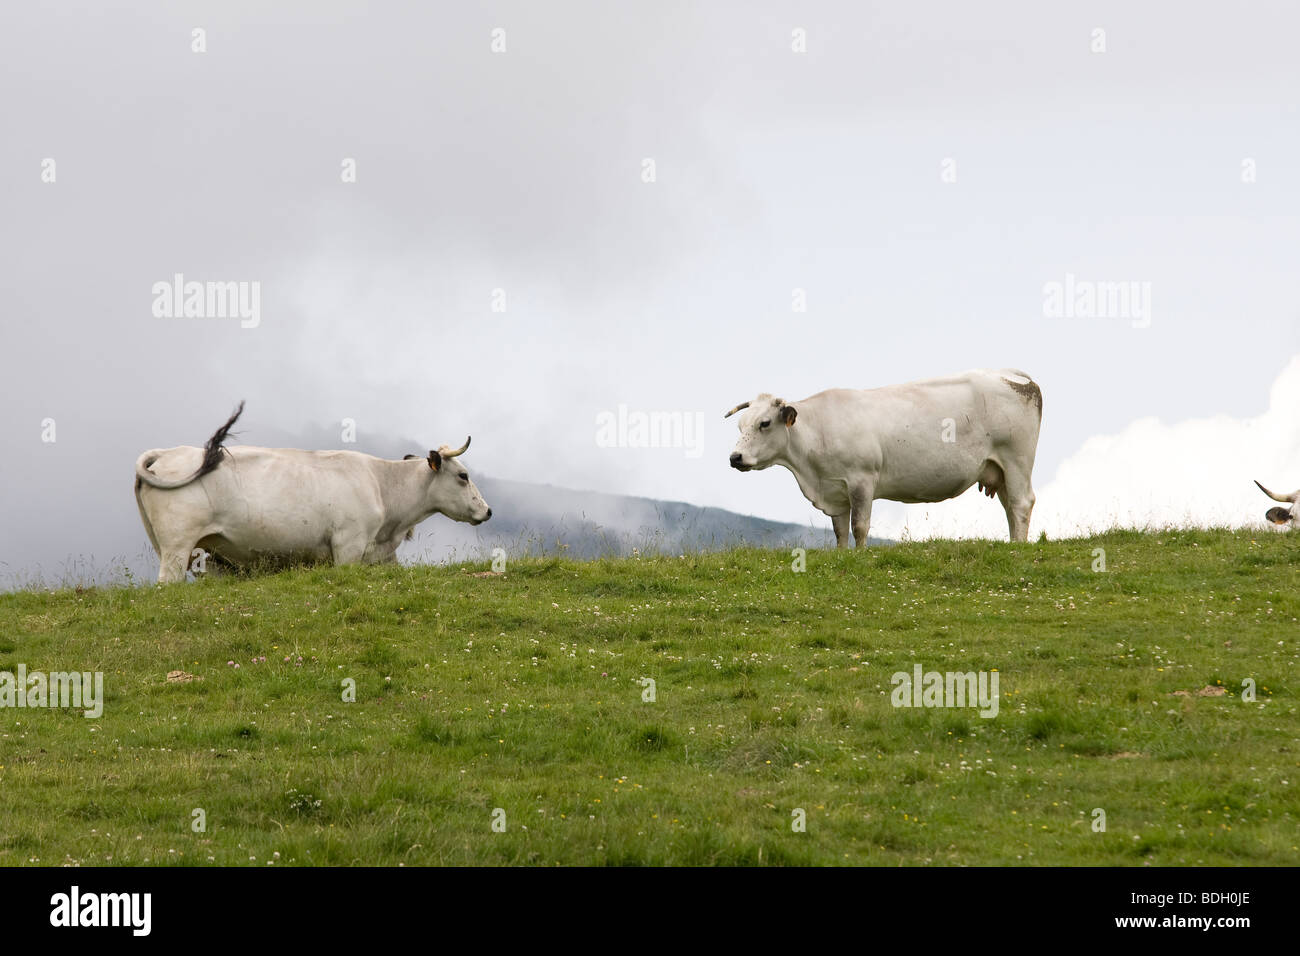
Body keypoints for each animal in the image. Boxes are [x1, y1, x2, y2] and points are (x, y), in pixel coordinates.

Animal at [134, 402, 492, 583]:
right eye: (463, 475)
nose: (487, 510)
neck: (381, 484)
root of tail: (166, 453)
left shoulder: (383, 556)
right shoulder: (348, 547)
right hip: (177, 547)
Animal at [726, 369, 1042, 547]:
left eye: (764, 423)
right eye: (740, 426)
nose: (735, 457)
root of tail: (1014, 376)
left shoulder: (862, 480)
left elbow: (859, 526)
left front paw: (860, 556)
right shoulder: (835, 491)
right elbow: (840, 531)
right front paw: (842, 555)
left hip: (1017, 460)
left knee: (1021, 504)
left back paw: (1018, 548)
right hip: (999, 470)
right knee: (1010, 507)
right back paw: (1013, 543)